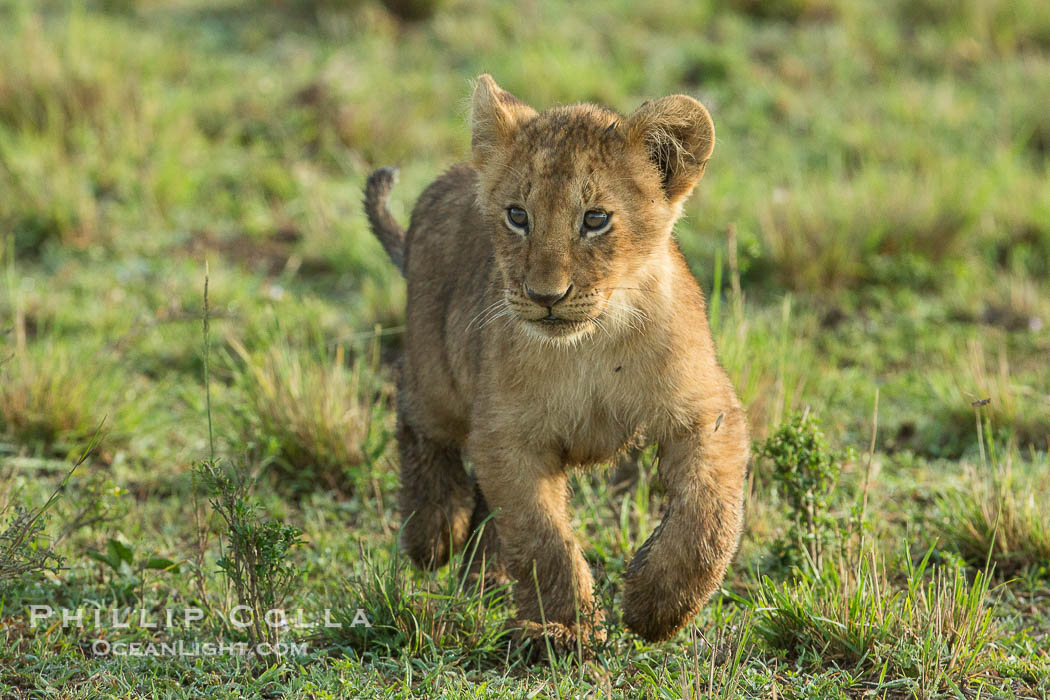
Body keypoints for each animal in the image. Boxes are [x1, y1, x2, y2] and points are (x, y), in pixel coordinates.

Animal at [363, 75, 749, 653]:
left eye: (595, 219)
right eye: (518, 216)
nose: (546, 296)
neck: (591, 344)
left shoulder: (705, 410)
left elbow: (707, 518)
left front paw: (657, 607)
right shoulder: (507, 435)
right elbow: (543, 540)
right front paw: (566, 629)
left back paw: (482, 576)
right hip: (436, 373)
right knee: (416, 411)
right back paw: (434, 529)